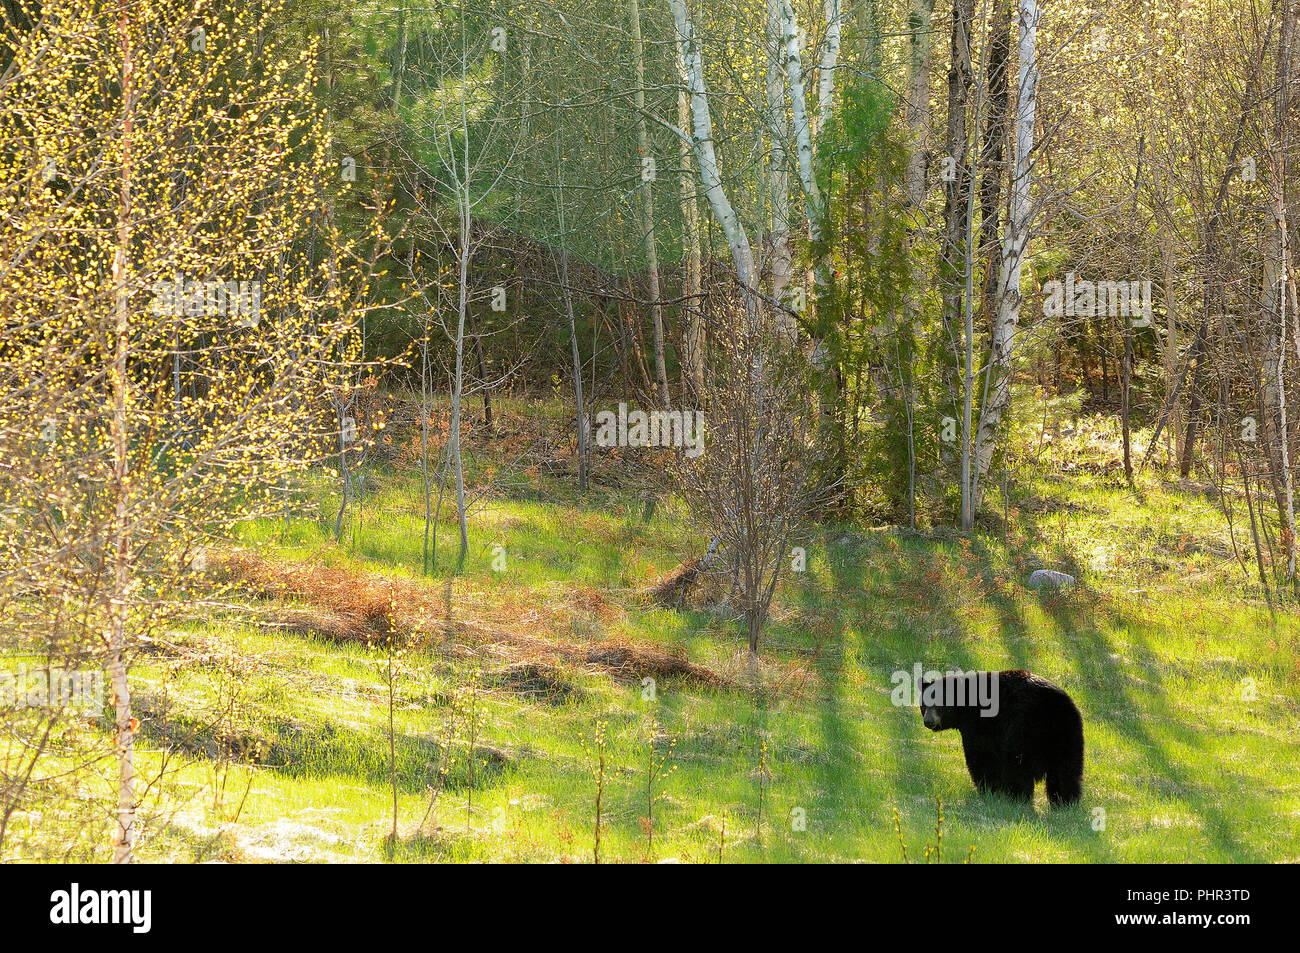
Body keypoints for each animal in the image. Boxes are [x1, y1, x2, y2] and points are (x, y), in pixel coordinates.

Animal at [919, 669, 1083, 806]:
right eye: (924, 705)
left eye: (938, 704)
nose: (928, 721)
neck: (966, 705)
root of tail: (1052, 705)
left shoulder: (981, 724)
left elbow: (982, 756)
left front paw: (988, 790)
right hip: (1068, 732)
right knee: (1067, 770)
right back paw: (1065, 801)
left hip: (1022, 729)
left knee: (1018, 765)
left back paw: (1018, 797)